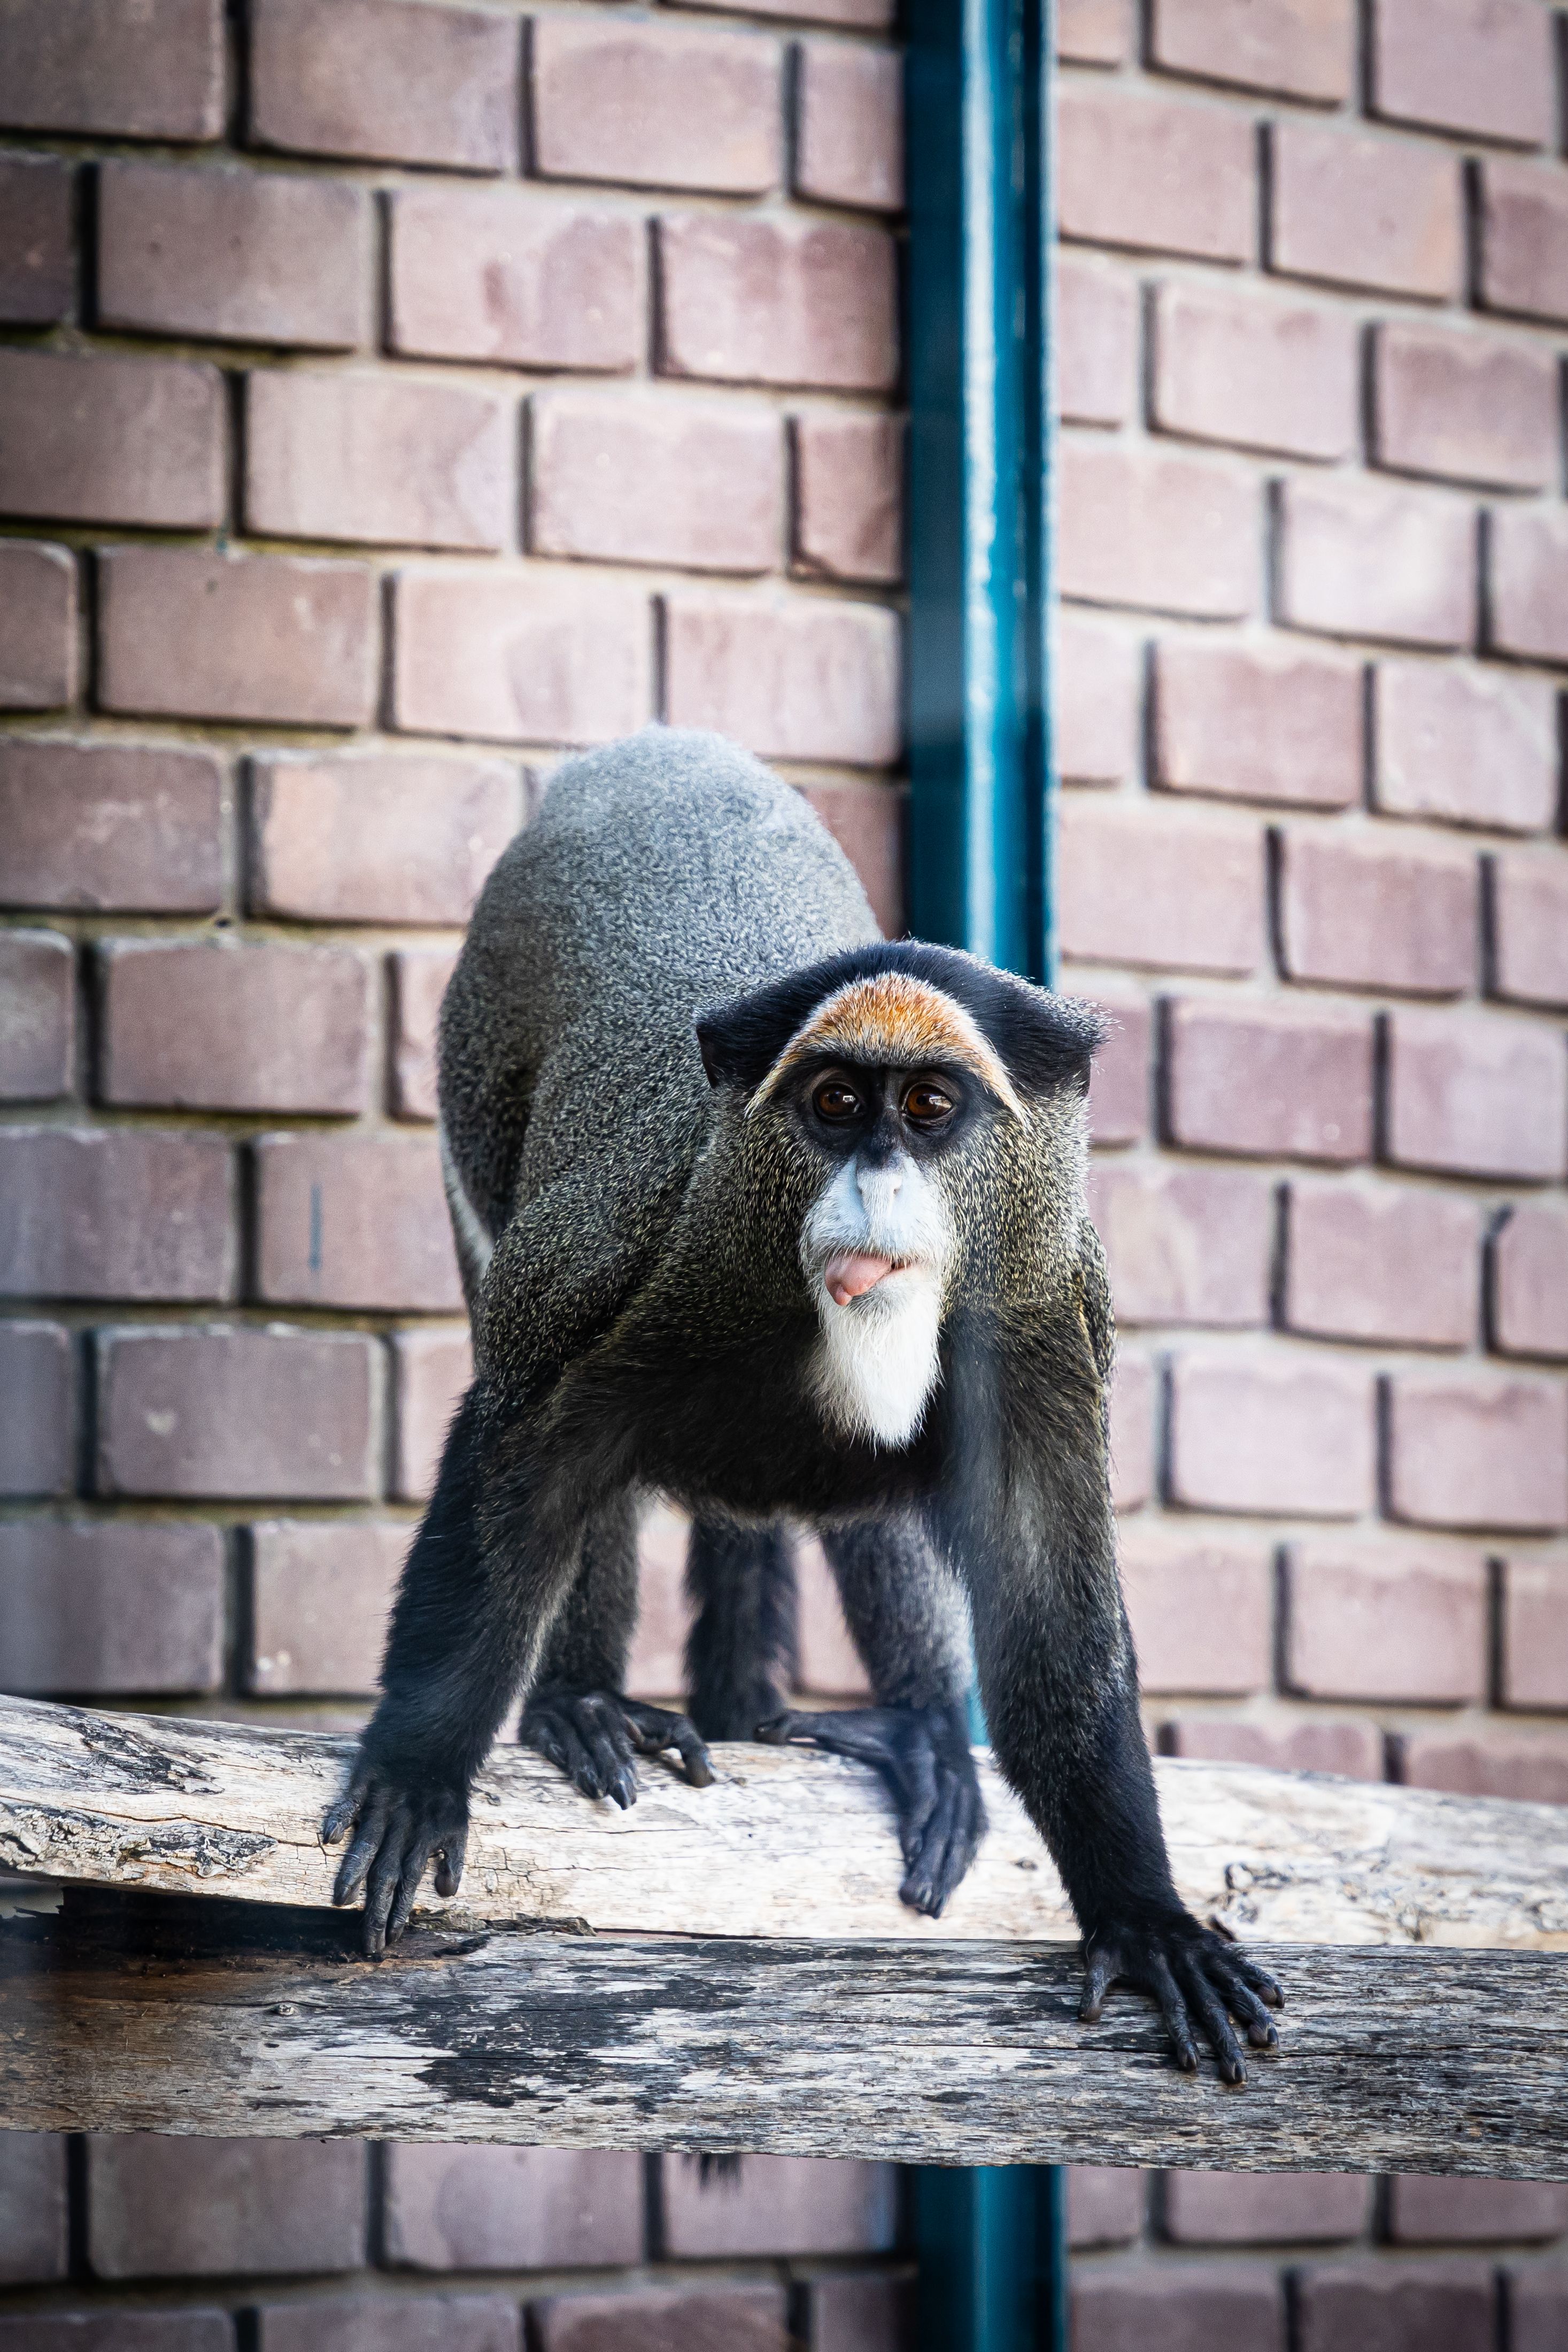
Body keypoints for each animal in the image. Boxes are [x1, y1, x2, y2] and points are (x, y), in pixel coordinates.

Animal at [324, 725, 1282, 2084]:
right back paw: (585, 1703)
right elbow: (517, 1474)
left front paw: (1145, 1917)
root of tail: (659, 746)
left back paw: (920, 1728)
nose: (876, 1177)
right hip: (474, 1127)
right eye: (834, 1102)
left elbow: (1049, 1605)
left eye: (927, 1107)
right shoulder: (592, 1267)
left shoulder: (1051, 1319)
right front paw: (415, 1774)